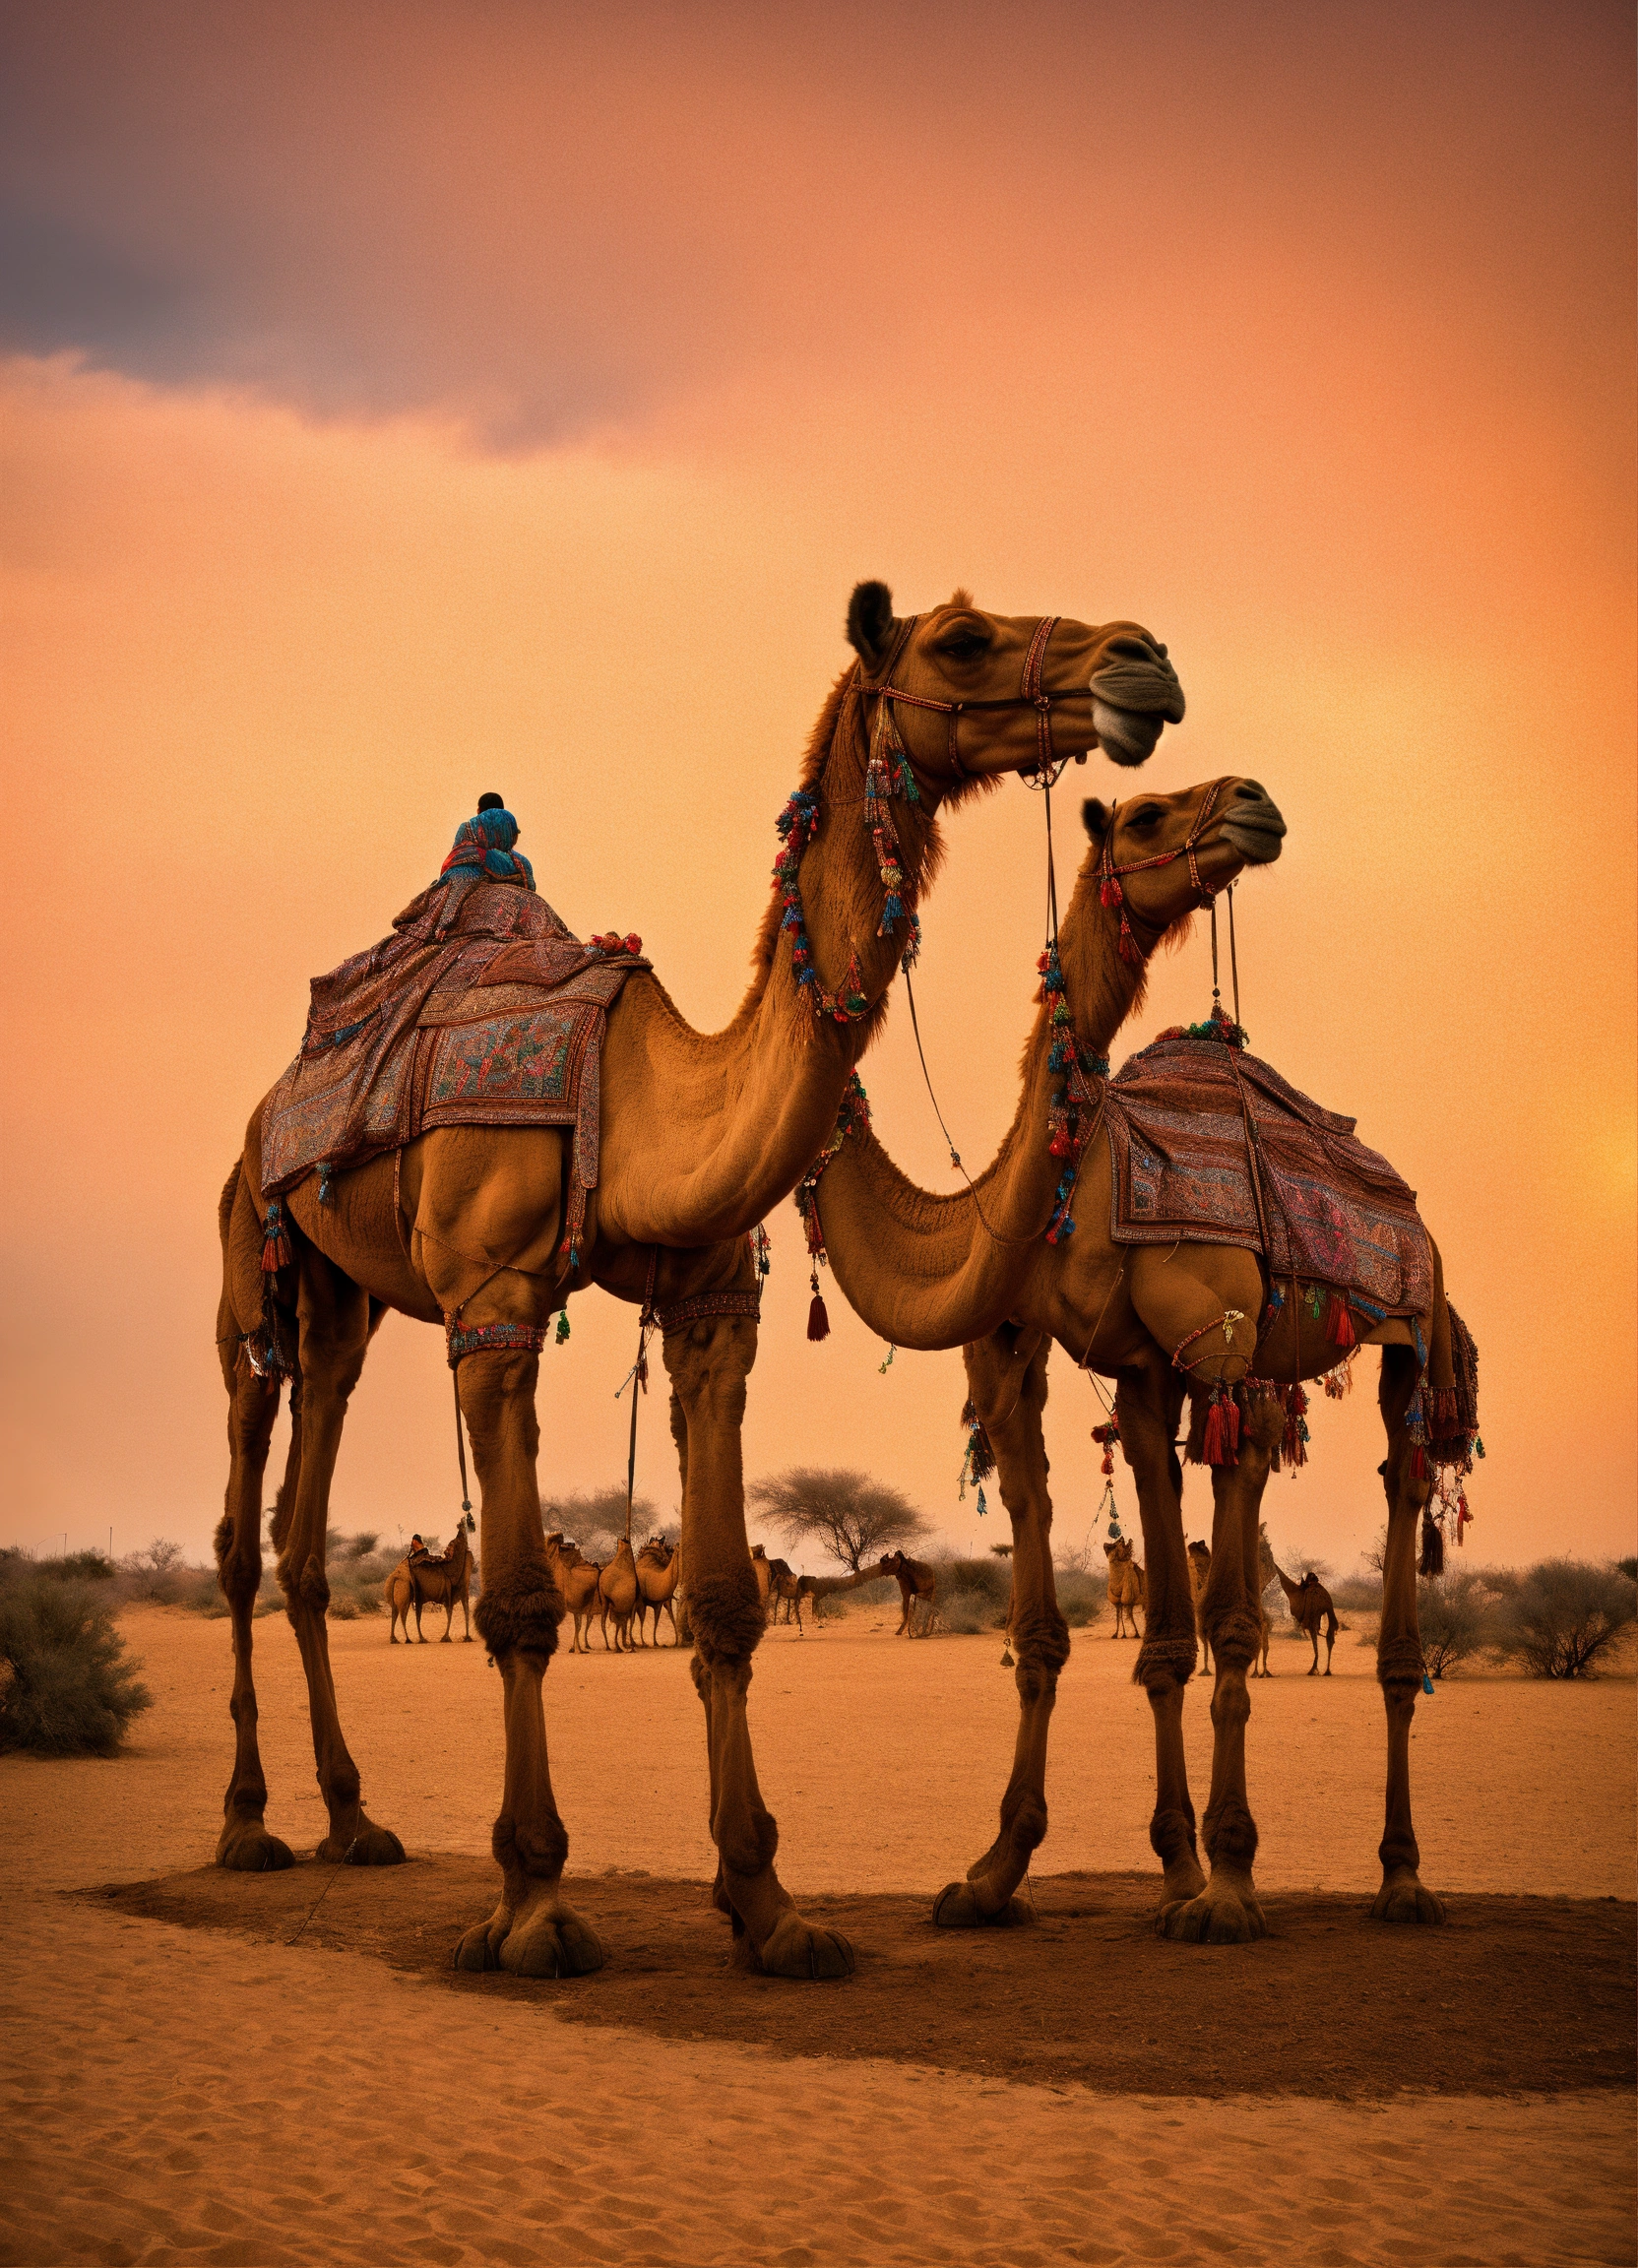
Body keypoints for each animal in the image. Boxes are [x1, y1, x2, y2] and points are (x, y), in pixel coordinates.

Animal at [212, 580, 1185, 1977]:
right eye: (960, 639)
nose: (1140, 661)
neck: (639, 1101)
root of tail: (265, 1116)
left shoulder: (714, 1305)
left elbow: (724, 1603)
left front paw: (769, 1907)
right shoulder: (493, 1308)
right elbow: (518, 1603)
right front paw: (532, 1906)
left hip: (343, 1302)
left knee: (304, 1515)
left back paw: (351, 1823)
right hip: (251, 1254)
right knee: (243, 1519)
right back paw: (247, 1827)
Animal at [810, 772, 1469, 1941]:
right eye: (1145, 815)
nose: (1252, 801)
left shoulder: (1219, 1347)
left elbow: (1230, 1624)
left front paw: (1229, 1889)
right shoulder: (1087, 1362)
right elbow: (1102, 1627)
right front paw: (1011, 1875)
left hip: (1413, 1328)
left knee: (1398, 1501)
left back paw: (1401, 1879)